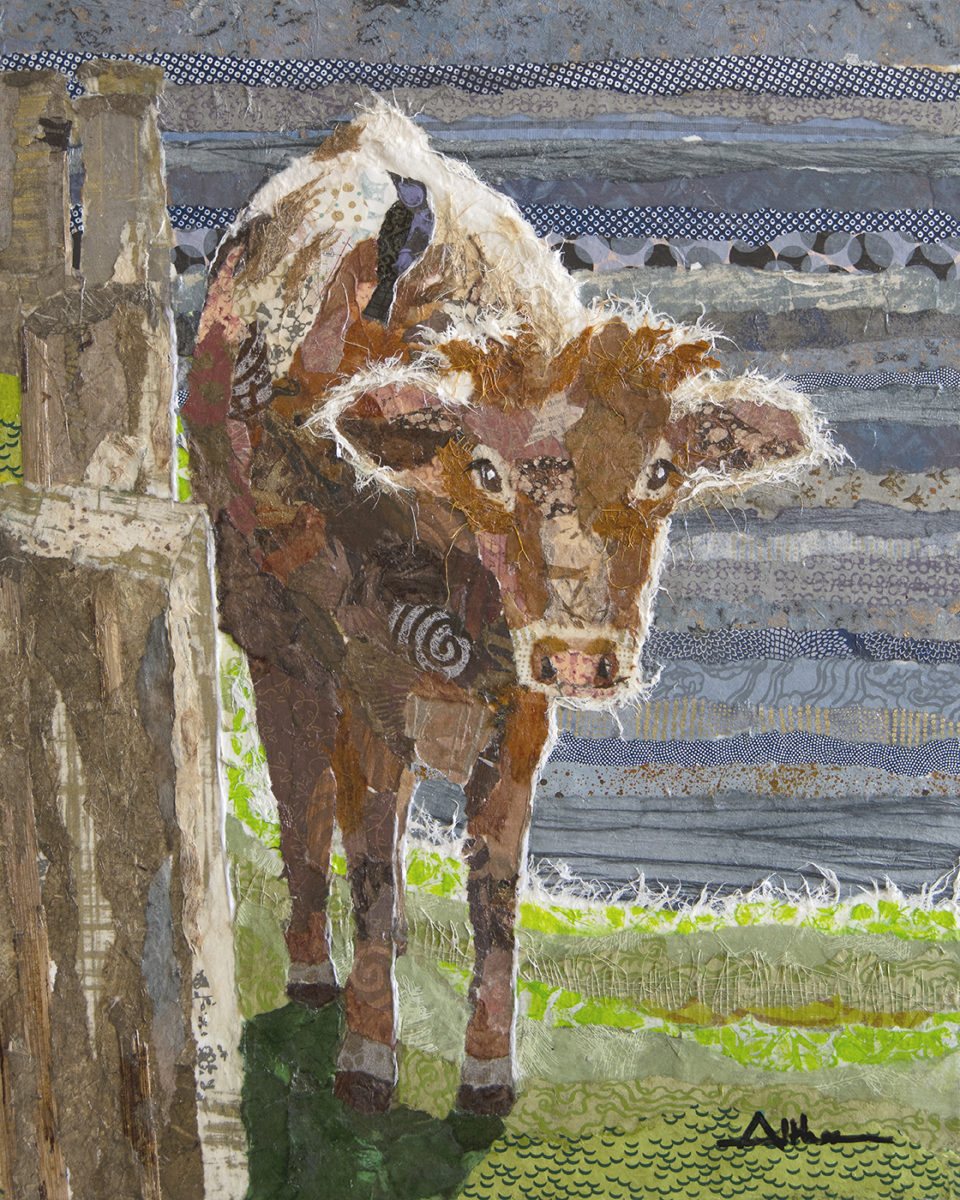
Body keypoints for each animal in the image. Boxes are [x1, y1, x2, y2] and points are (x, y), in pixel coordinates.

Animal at [183, 102, 839, 1117]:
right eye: (486, 470)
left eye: (660, 472)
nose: (579, 655)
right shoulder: (367, 687)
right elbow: (371, 873)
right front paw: (367, 1057)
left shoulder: (520, 715)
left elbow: (494, 889)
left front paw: (489, 1071)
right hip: (273, 641)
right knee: (302, 804)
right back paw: (312, 973)